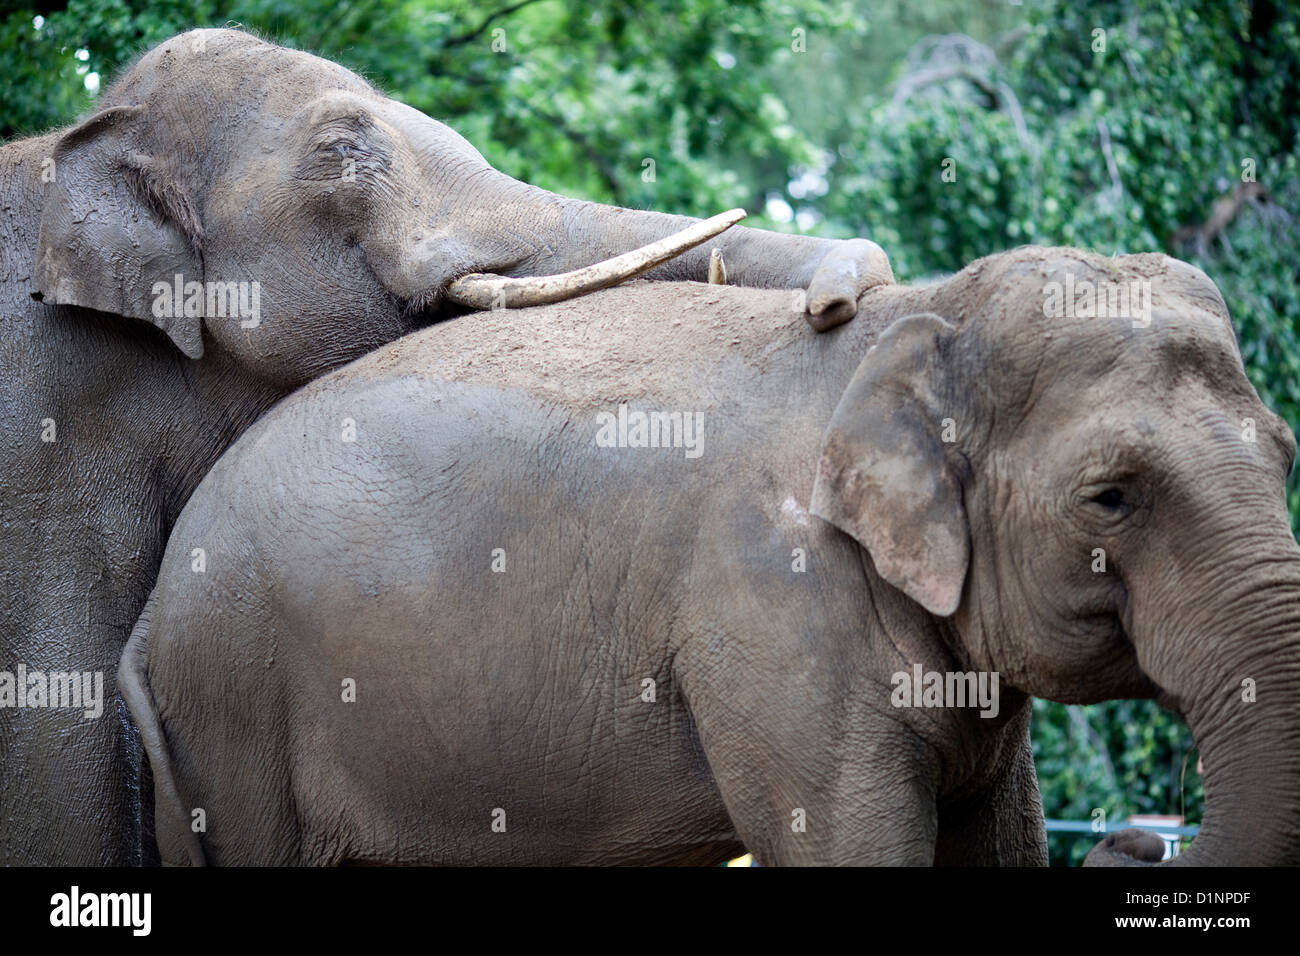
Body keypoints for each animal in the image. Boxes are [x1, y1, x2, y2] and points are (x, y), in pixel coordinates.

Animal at [120, 245, 1300, 865]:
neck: (927, 309)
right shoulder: (771, 612)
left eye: (1286, 451)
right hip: (233, 703)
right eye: (1112, 498)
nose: (1138, 844)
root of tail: (148, 614)